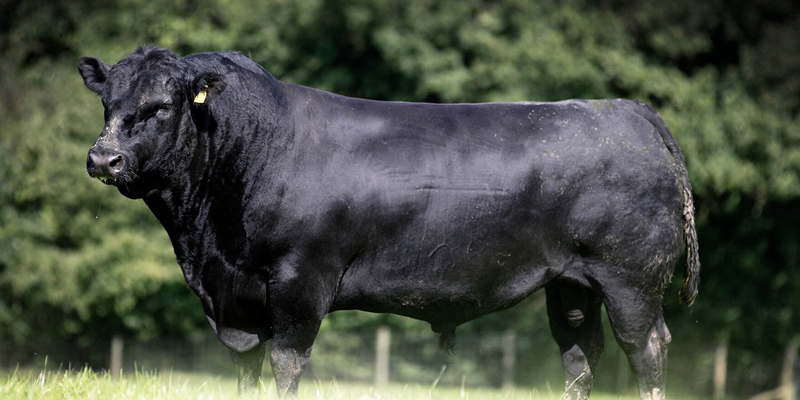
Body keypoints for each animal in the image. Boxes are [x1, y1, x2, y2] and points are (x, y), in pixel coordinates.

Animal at [78, 46, 699, 400]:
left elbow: (284, 363)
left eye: (161, 106)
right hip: (571, 284)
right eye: (106, 104)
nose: (103, 159)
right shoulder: (237, 300)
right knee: (579, 355)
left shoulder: (301, 281)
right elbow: (247, 367)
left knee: (647, 349)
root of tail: (623, 110)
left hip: (631, 281)